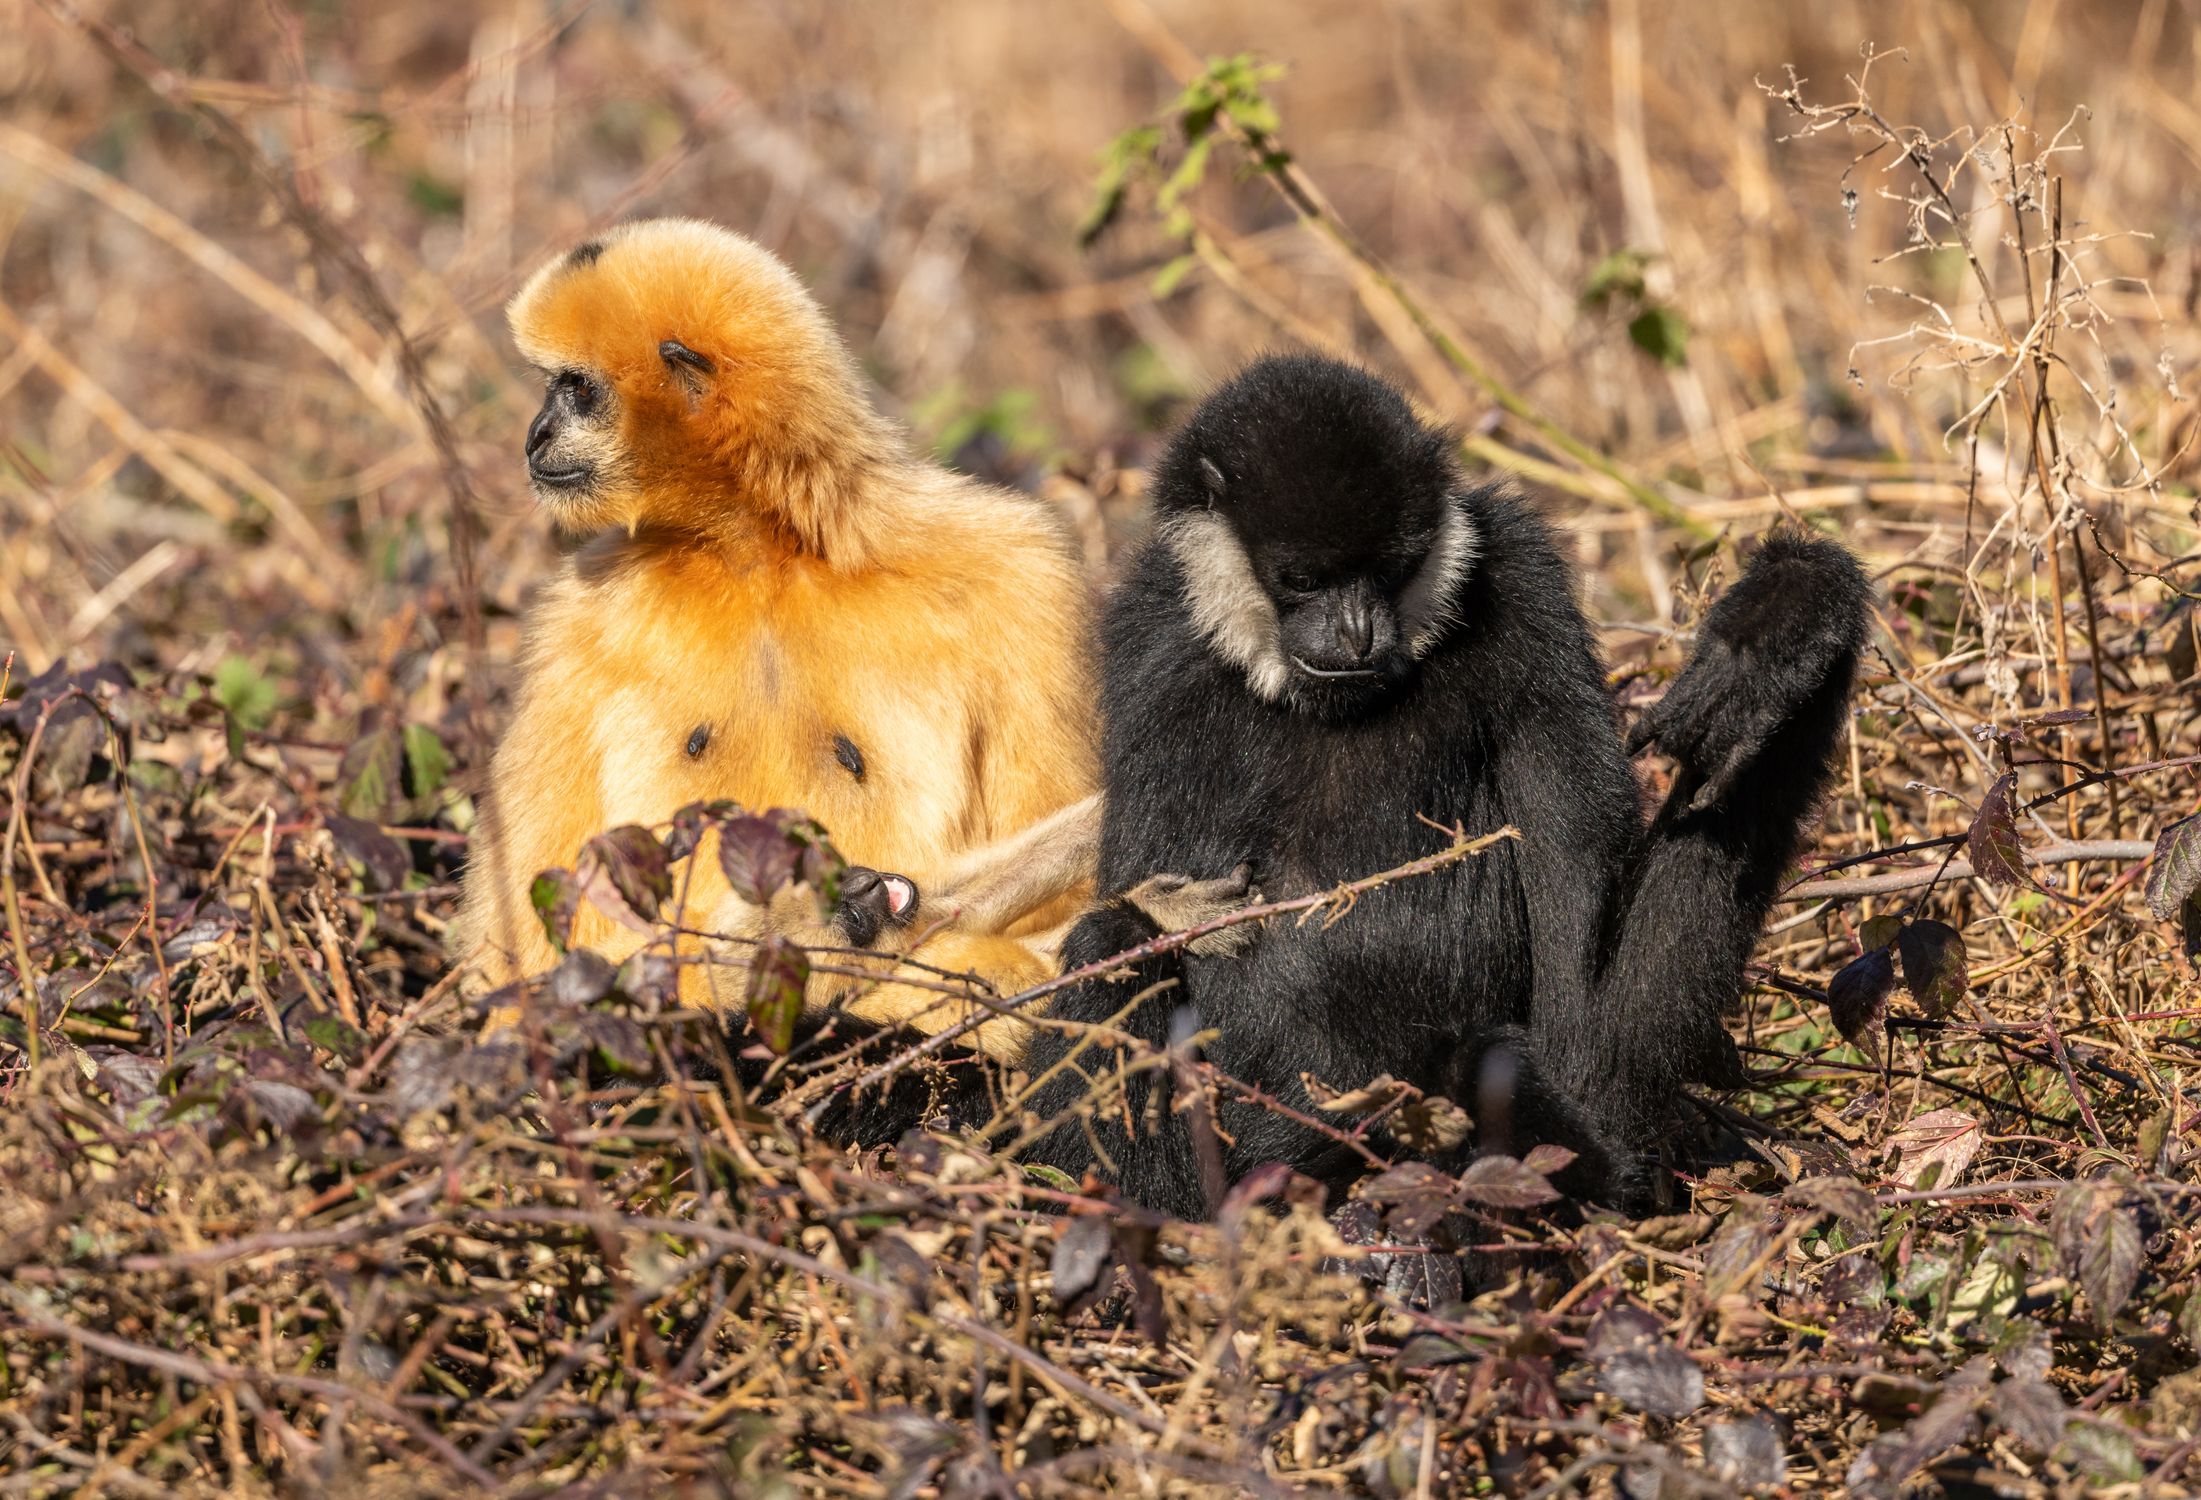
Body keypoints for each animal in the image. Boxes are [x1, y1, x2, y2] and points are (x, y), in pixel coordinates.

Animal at [451, 219, 1099, 1054]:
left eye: (574, 388)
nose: (535, 434)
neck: (762, 552)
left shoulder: (1021, 572)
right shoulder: (573, 621)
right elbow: (518, 972)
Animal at [962, 354, 1872, 1219]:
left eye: (1389, 569)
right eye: (1301, 580)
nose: (1356, 629)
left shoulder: (1523, 585)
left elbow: (1592, 1031)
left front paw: (1778, 629)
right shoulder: (1149, 639)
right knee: (1108, 952)